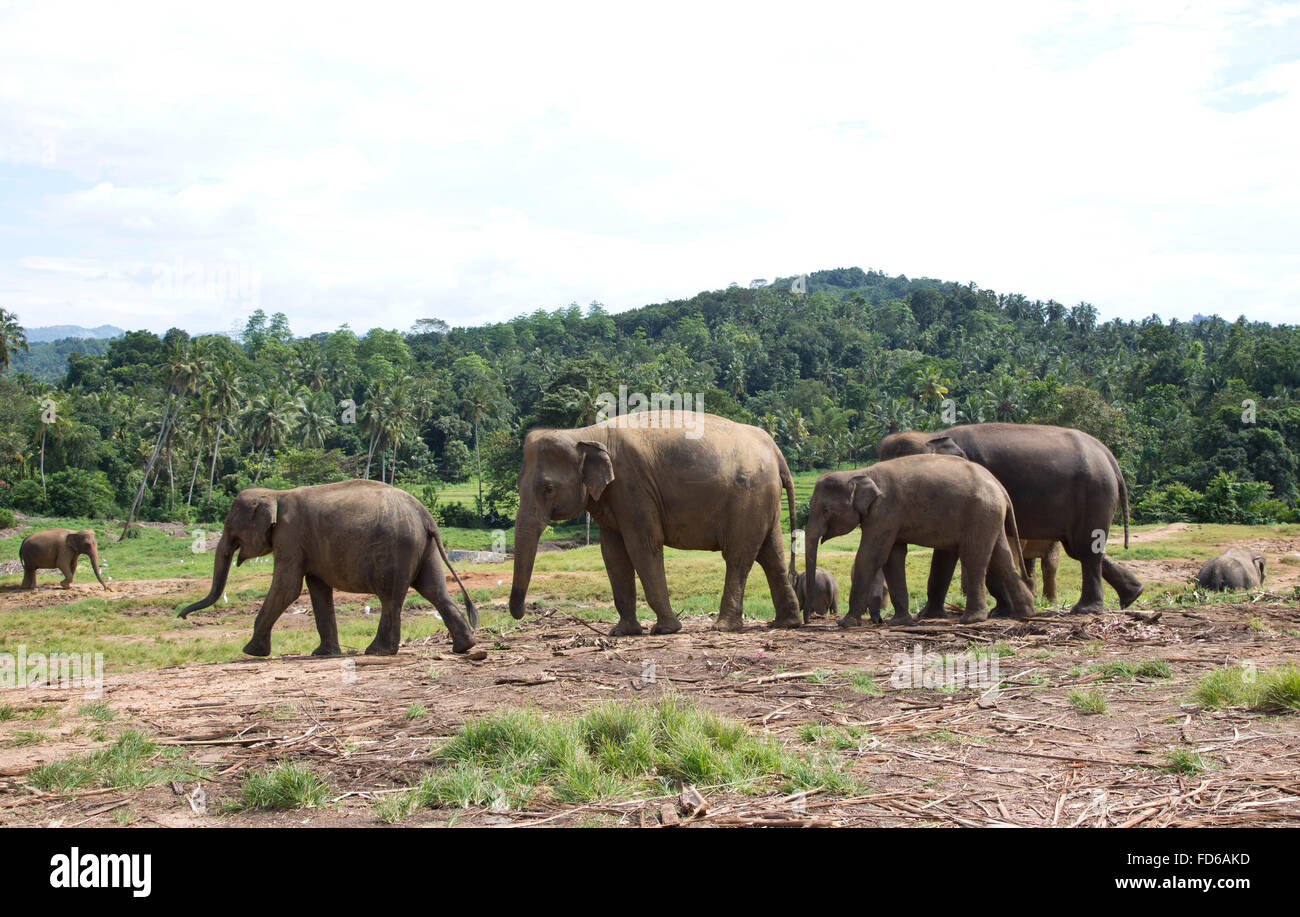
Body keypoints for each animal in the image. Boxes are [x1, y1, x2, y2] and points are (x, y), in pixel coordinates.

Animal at [179, 480, 477, 657]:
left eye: (229, 527)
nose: (181, 616)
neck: (275, 495)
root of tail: (425, 514)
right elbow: (317, 589)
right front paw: (323, 653)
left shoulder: (290, 535)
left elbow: (287, 588)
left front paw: (251, 652)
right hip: (424, 547)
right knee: (434, 591)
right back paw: (465, 646)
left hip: (396, 549)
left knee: (391, 596)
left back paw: (377, 652)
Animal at [509, 410, 802, 634]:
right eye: (518, 484)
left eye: (548, 488)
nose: (522, 613)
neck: (586, 433)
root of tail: (774, 450)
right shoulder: (612, 497)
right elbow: (613, 554)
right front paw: (623, 632)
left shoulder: (633, 486)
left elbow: (643, 545)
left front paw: (666, 629)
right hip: (764, 501)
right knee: (771, 555)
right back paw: (786, 623)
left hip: (748, 498)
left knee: (738, 557)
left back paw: (723, 627)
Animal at [805, 454, 1035, 626]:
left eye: (825, 510)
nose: (807, 621)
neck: (863, 473)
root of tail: (999, 485)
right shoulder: (889, 518)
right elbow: (893, 557)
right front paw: (899, 622)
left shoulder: (885, 512)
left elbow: (871, 557)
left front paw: (845, 623)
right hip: (990, 515)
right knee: (1002, 557)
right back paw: (1027, 612)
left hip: (980, 513)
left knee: (974, 557)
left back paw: (971, 619)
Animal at [876, 423, 1143, 617]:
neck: (932, 435)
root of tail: (1108, 456)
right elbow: (946, 552)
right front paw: (929, 615)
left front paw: (1000, 611)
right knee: (1080, 548)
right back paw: (1132, 596)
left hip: (1095, 492)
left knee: (1086, 549)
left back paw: (1086, 609)